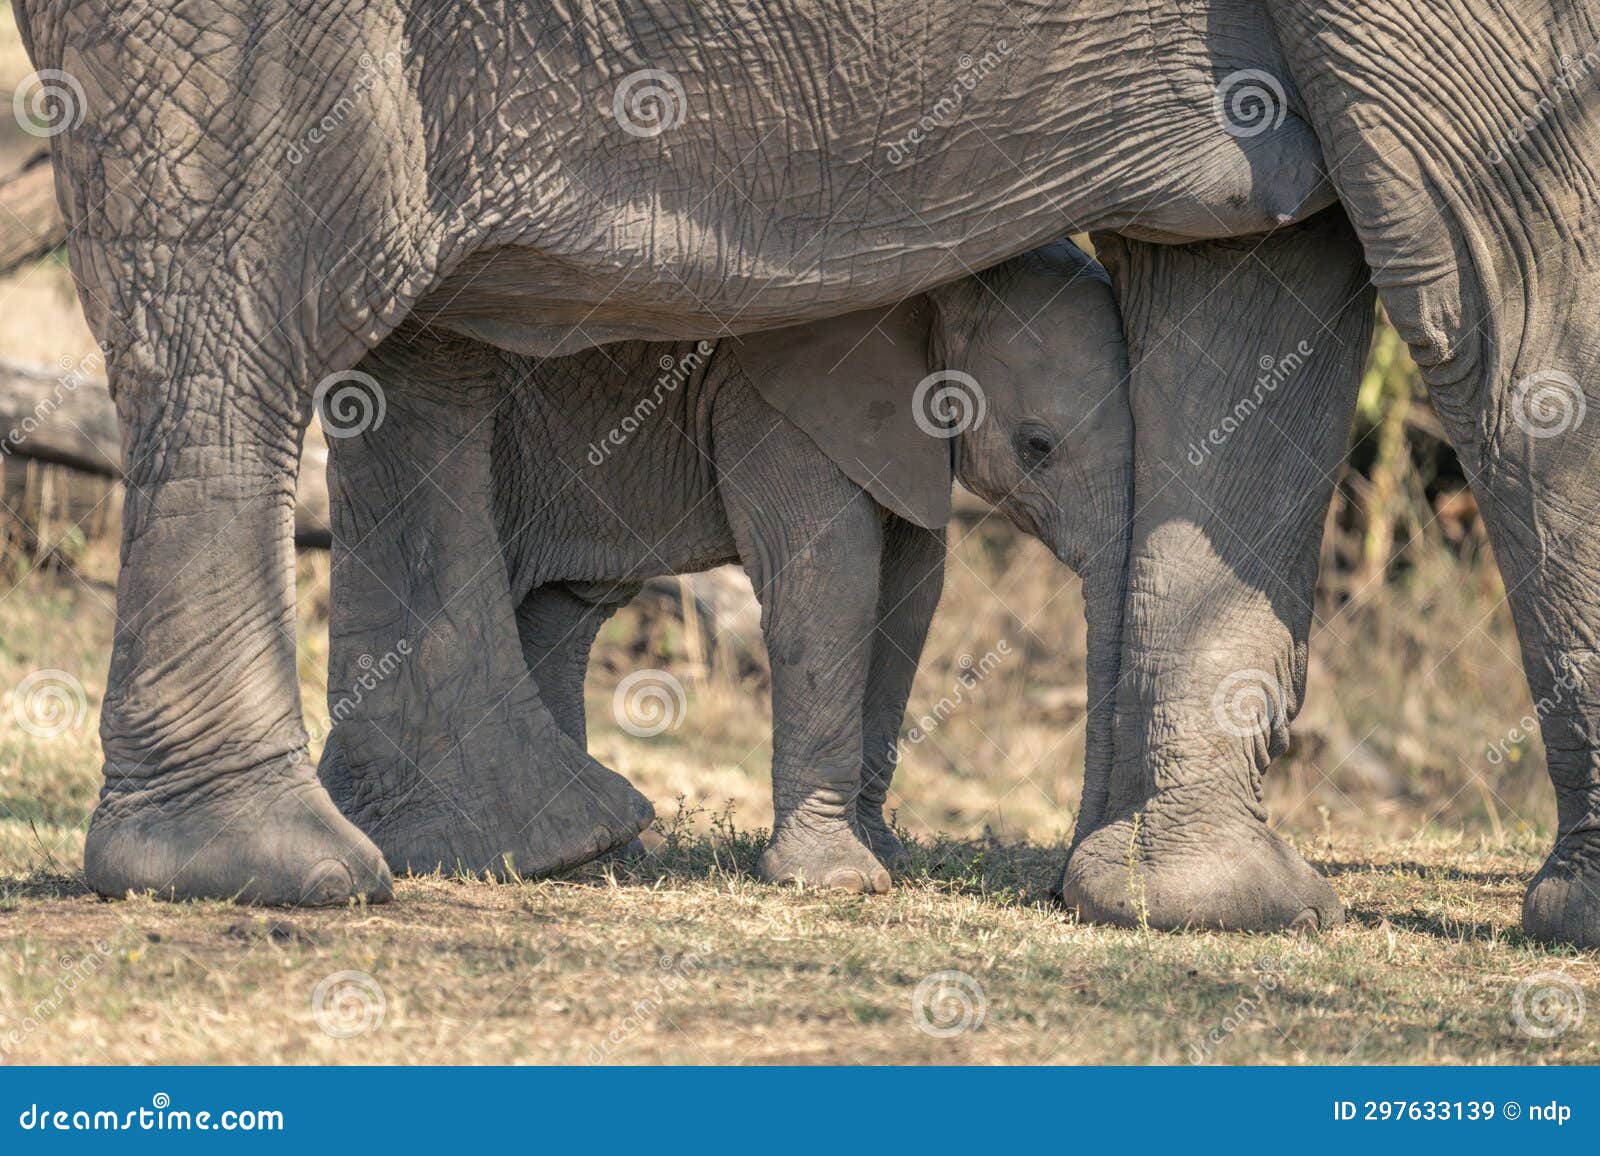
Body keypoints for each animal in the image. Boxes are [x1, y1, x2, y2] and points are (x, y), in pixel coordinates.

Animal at [315, 240, 1132, 893]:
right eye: (1038, 446)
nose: (1056, 887)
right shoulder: (782, 396)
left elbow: (911, 591)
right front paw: (837, 881)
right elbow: (833, 574)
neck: (949, 284)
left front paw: (885, 857)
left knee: (564, 608)